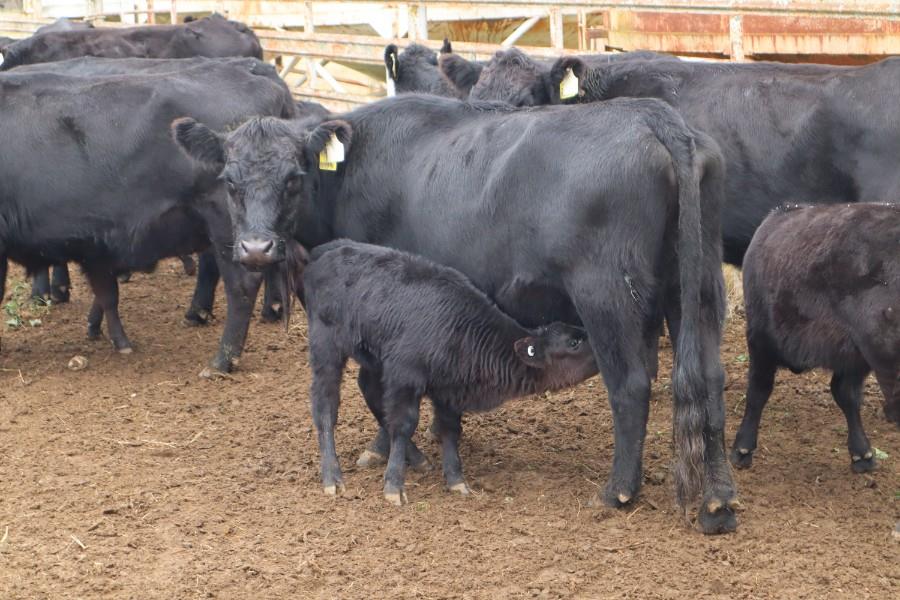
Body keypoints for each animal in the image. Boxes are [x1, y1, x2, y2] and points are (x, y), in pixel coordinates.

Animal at [299, 239, 598, 504]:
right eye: (574, 342)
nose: (600, 347)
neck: (458, 329)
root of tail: (327, 249)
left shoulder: (449, 389)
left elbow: (450, 429)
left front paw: (456, 480)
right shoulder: (404, 377)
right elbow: (403, 424)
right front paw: (394, 486)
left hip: (372, 358)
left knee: (369, 391)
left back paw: (418, 459)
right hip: (326, 349)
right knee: (326, 408)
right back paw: (332, 477)